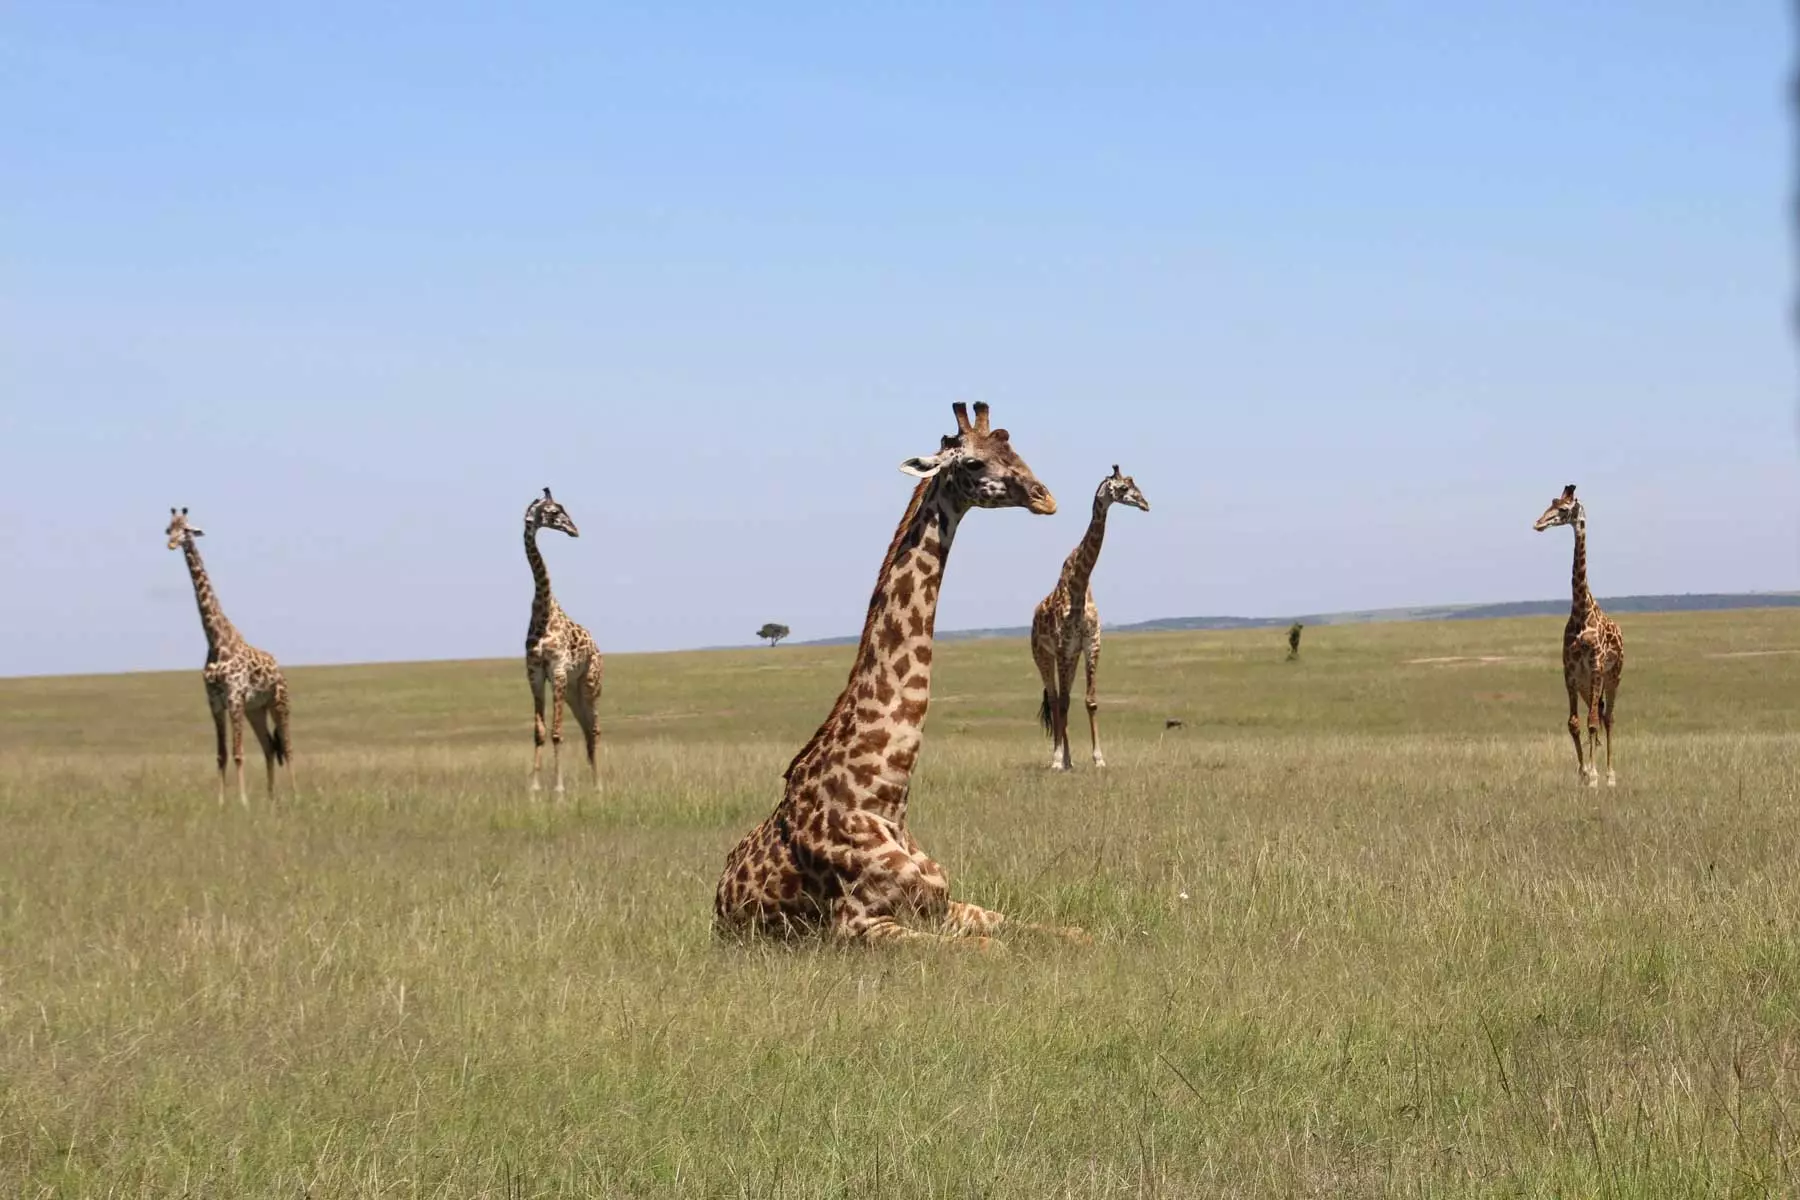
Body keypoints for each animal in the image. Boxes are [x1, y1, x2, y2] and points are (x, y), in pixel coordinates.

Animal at [165, 507, 295, 805]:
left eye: (186, 529)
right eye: (169, 528)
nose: (172, 543)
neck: (215, 640)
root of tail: (280, 669)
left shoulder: (234, 697)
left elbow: (238, 753)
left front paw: (243, 802)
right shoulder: (215, 701)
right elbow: (221, 754)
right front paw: (222, 802)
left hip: (279, 703)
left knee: (288, 747)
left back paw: (296, 796)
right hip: (255, 709)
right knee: (269, 747)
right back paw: (271, 798)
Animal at [522, 489, 604, 798]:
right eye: (554, 512)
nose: (574, 530)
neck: (543, 610)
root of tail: (597, 648)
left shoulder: (556, 670)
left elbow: (557, 733)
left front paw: (558, 789)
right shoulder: (535, 672)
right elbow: (540, 732)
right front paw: (534, 789)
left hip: (590, 684)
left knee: (594, 728)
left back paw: (599, 785)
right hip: (572, 691)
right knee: (586, 728)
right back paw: (594, 784)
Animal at [712, 402, 1080, 949]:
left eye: (1013, 447)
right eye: (973, 462)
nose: (1045, 498)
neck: (885, 798)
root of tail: (715, 900)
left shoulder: (945, 905)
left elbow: (1065, 931)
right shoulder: (860, 926)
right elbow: (992, 948)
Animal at [1029, 464, 1152, 773]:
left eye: (1134, 483)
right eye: (1123, 488)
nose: (1145, 504)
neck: (1080, 584)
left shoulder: (1090, 645)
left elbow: (1090, 701)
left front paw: (1098, 758)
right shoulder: (1063, 647)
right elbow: (1061, 703)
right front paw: (1057, 759)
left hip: (1071, 657)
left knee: (1064, 700)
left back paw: (1070, 759)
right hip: (1043, 655)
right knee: (1055, 699)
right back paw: (1061, 758)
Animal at [1540, 482, 1627, 791]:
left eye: (1564, 508)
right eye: (1551, 502)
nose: (1538, 523)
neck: (1581, 612)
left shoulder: (1597, 667)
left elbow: (1592, 723)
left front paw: (1595, 776)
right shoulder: (1571, 673)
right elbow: (1575, 723)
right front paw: (1582, 772)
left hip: (1613, 678)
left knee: (1608, 718)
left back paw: (1611, 775)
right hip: (1586, 686)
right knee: (1597, 716)